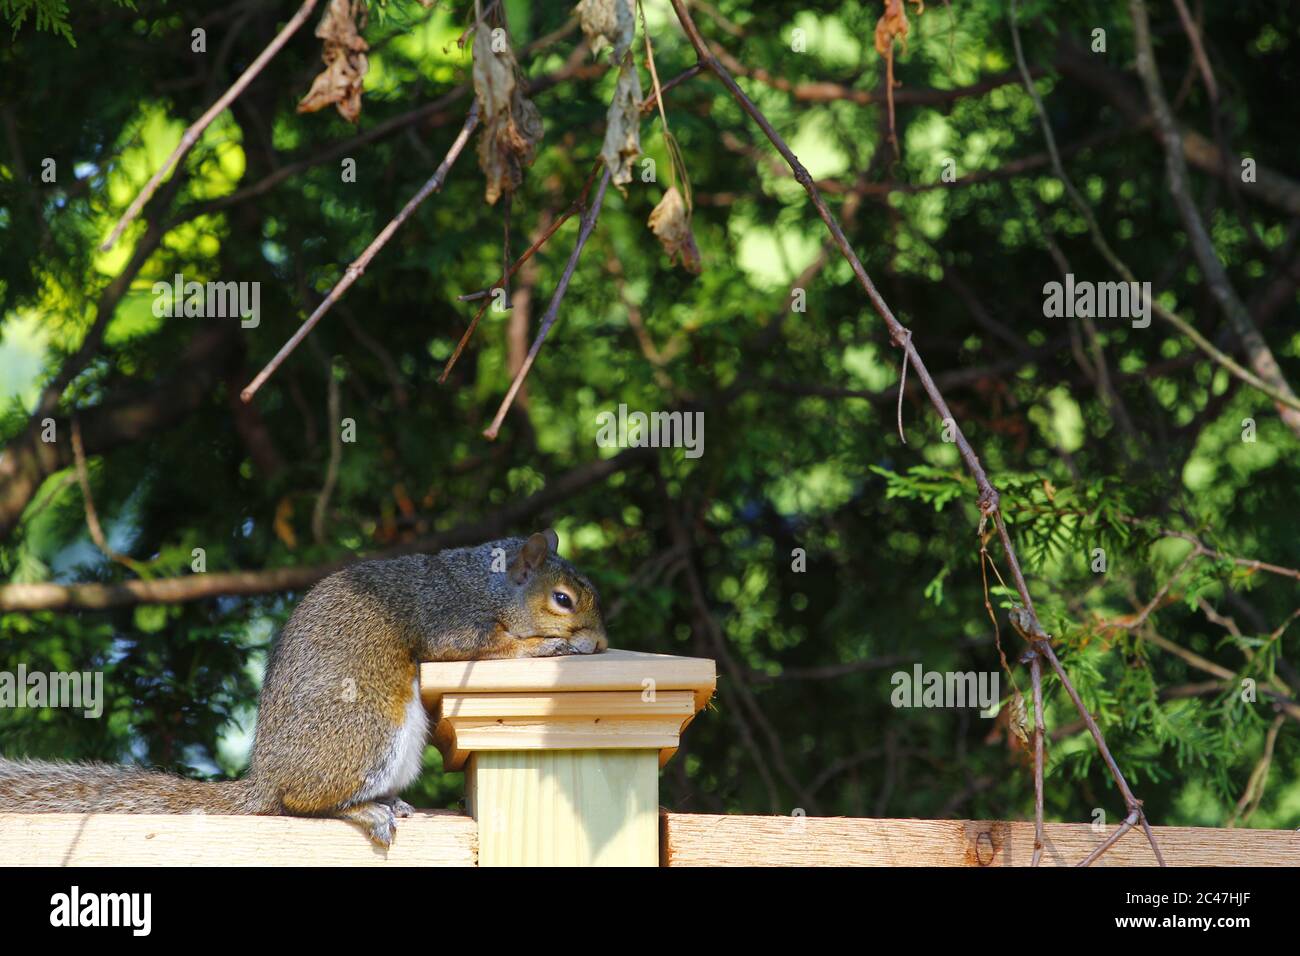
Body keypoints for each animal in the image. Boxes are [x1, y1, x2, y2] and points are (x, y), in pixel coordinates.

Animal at [0, 530, 607, 846]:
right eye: (562, 600)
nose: (600, 642)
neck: (487, 584)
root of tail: (266, 780)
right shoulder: (449, 622)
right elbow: (481, 648)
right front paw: (546, 647)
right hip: (369, 730)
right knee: (302, 804)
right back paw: (364, 811)